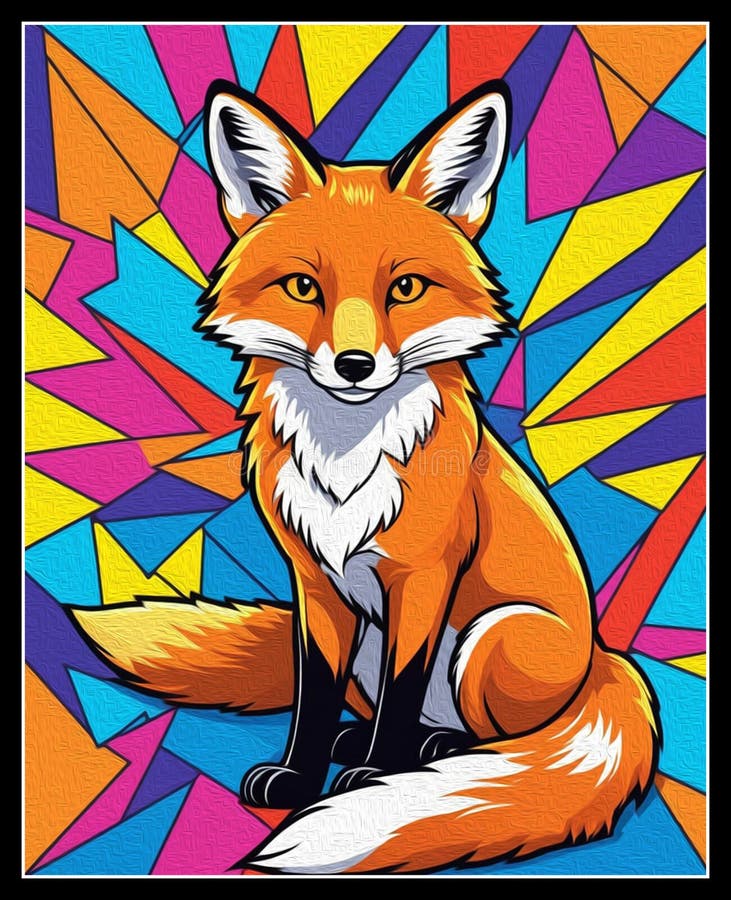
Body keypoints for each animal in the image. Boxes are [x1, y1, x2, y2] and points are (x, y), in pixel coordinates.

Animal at [71, 79, 660, 875]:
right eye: (302, 287)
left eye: (405, 288)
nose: (355, 366)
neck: (345, 462)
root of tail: (603, 657)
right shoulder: (315, 582)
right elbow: (313, 692)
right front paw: (300, 775)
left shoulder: (424, 576)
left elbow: (404, 691)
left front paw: (381, 775)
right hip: (374, 645)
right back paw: (361, 744)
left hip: (493, 638)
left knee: (494, 737)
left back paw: (428, 752)